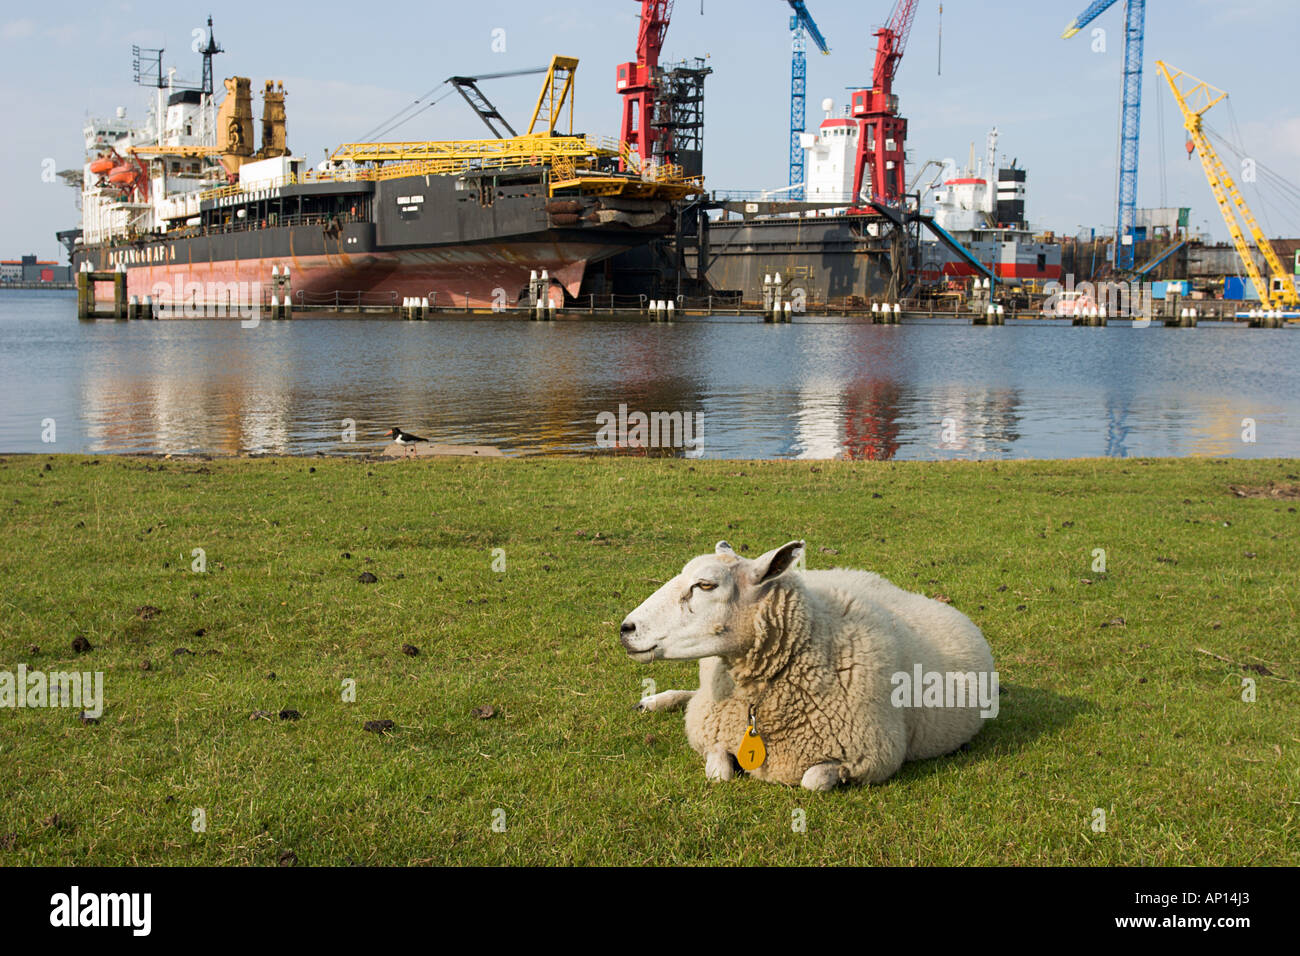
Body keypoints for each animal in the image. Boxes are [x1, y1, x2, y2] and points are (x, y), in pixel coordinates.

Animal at [620, 540, 997, 790]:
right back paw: (654, 701)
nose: (626, 629)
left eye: (706, 585)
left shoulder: (872, 757)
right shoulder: (708, 729)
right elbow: (719, 772)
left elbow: (812, 780)